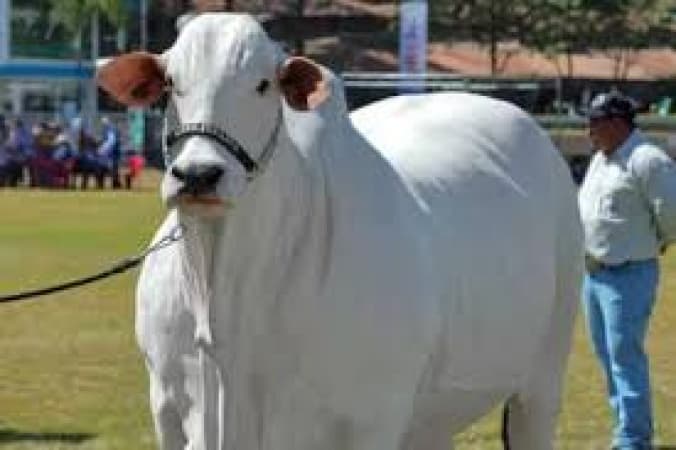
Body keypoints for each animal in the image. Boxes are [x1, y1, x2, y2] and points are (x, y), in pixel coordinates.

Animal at [98, 13, 583, 450]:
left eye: (263, 84)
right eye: (170, 83)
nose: (198, 175)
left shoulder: (373, 418)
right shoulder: (167, 410)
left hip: (544, 375)